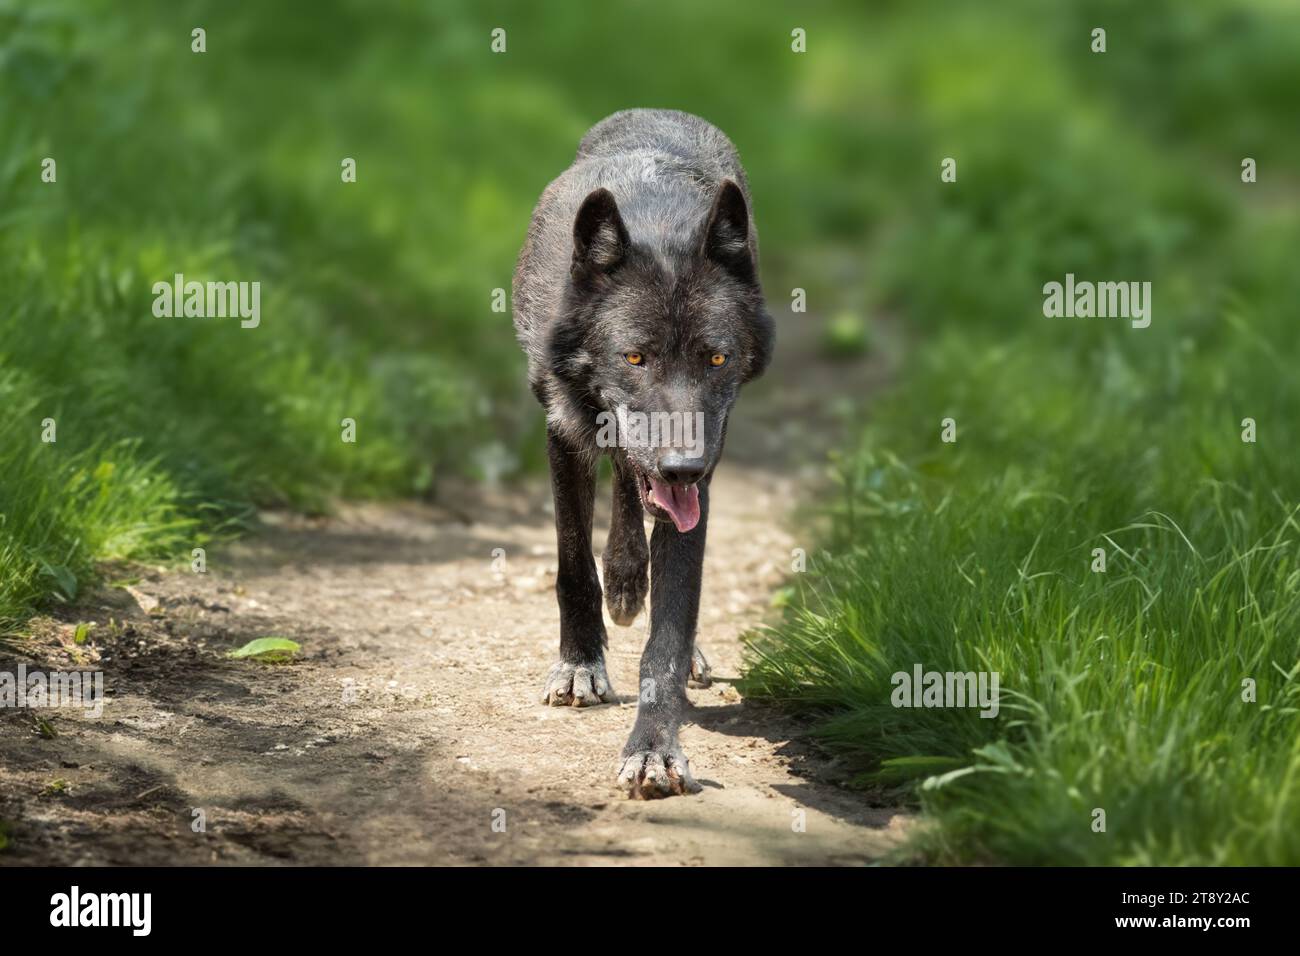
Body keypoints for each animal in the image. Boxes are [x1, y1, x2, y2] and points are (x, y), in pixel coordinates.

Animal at [512, 109, 774, 798]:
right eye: (634, 356)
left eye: (717, 357)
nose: (683, 466)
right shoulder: (562, 429)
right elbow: (573, 565)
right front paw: (580, 664)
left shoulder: (703, 469)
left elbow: (670, 629)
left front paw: (656, 747)